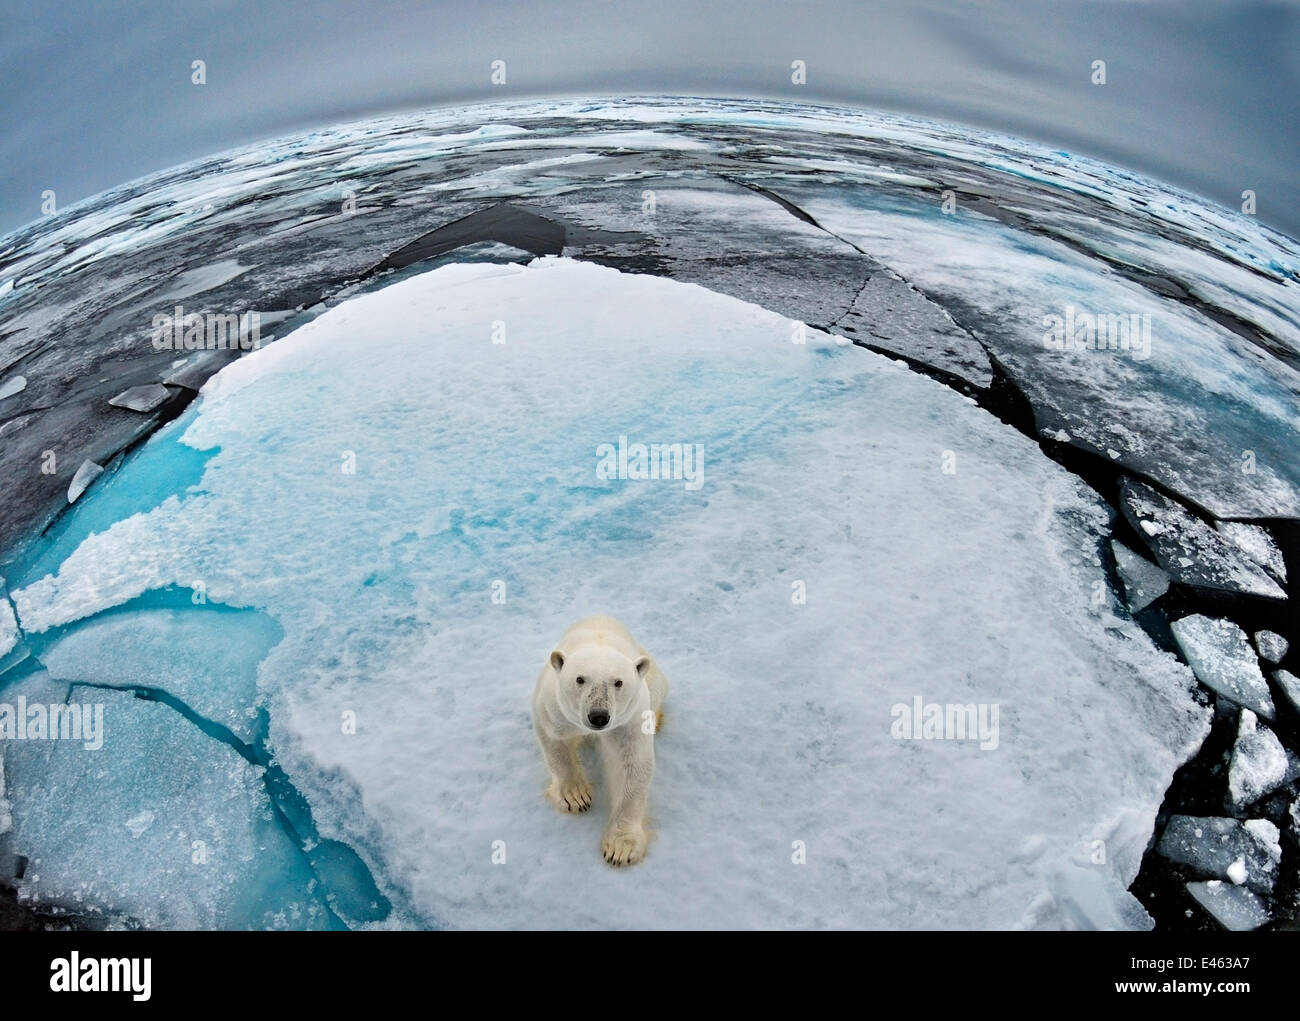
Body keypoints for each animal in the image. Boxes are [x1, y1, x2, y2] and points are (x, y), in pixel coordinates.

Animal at [532, 614, 668, 866]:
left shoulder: (629, 719)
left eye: (618, 682)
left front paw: (620, 847)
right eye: (579, 679)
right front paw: (575, 797)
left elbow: (630, 763)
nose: (598, 716)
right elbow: (556, 743)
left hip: (652, 678)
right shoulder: (554, 706)